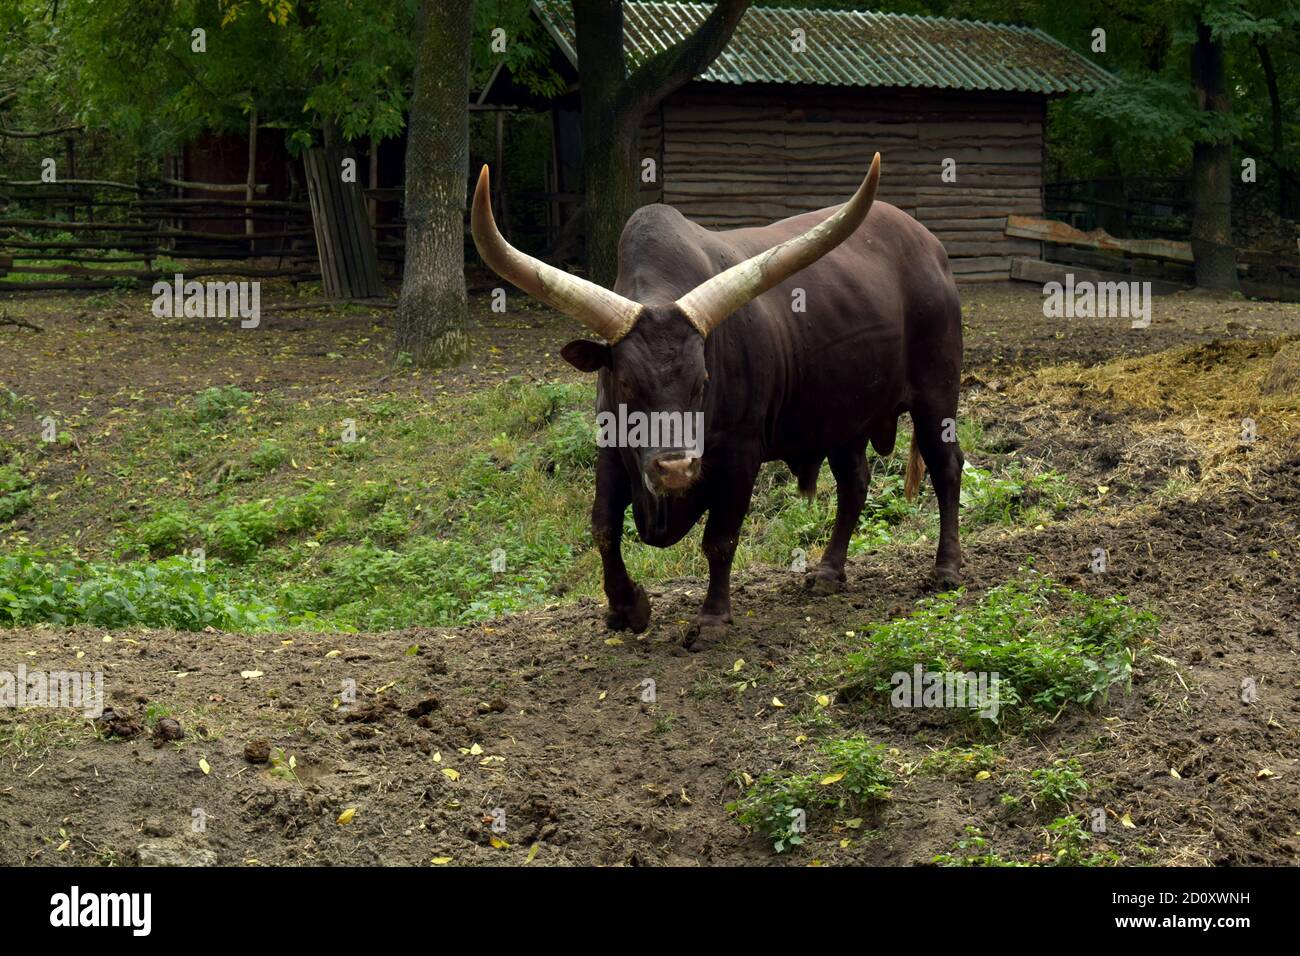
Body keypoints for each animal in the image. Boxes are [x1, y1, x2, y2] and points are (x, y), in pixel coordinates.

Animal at [472, 154, 963, 649]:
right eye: (625, 384)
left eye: (702, 382)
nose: (675, 468)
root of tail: (929, 245)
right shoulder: (610, 449)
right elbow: (604, 526)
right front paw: (626, 608)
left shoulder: (738, 455)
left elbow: (720, 539)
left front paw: (711, 618)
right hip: (842, 415)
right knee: (855, 482)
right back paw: (828, 571)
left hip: (937, 395)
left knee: (945, 466)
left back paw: (947, 568)